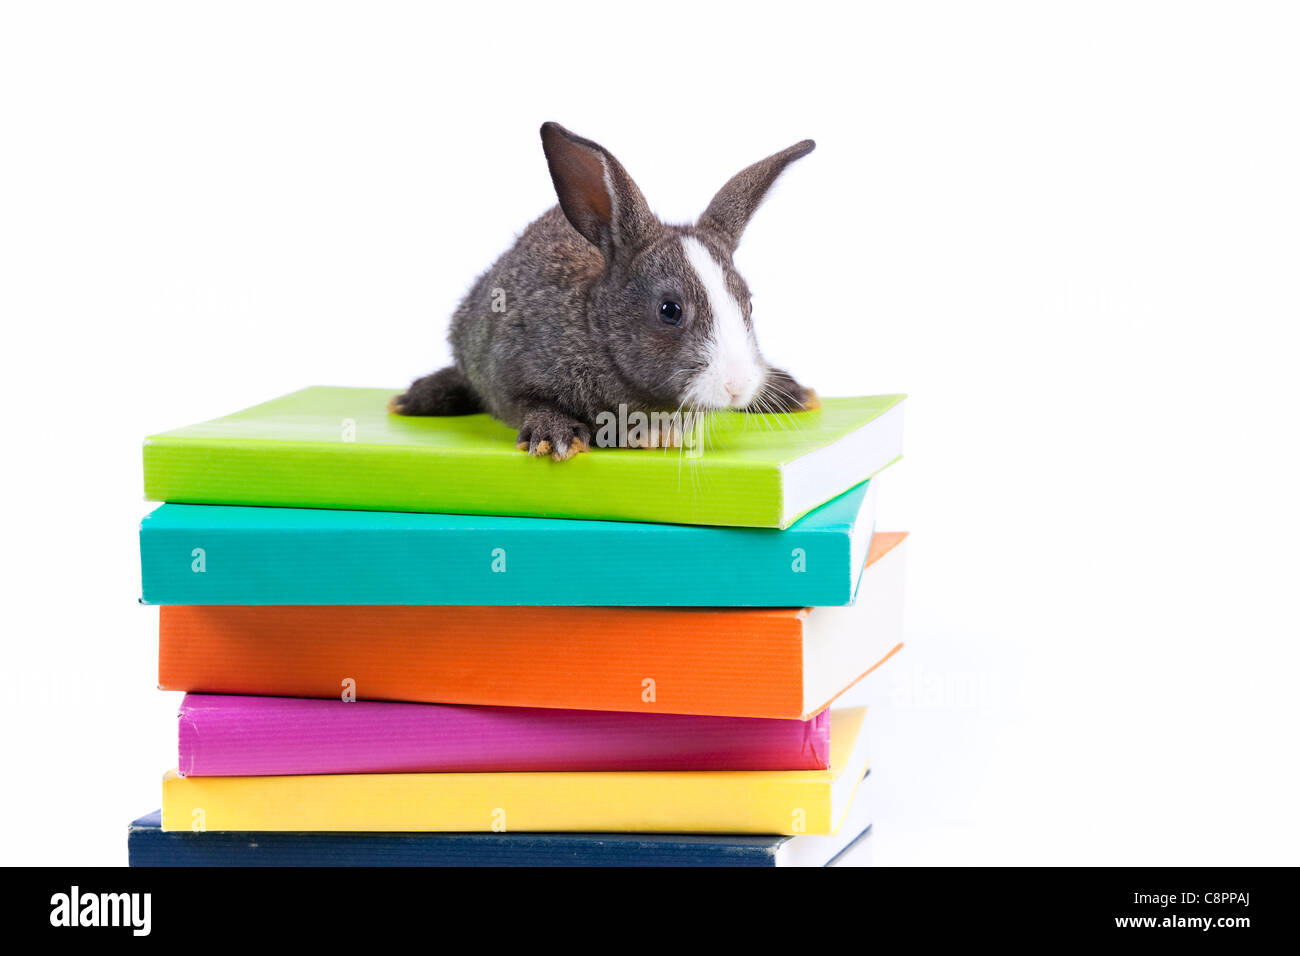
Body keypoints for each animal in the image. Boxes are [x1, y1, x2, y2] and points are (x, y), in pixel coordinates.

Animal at [389, 121, 820, 461]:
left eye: (749, 304)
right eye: (670, 310)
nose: (738, 387)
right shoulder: (508, 371)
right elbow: (530, 404)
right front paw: (555, 437)